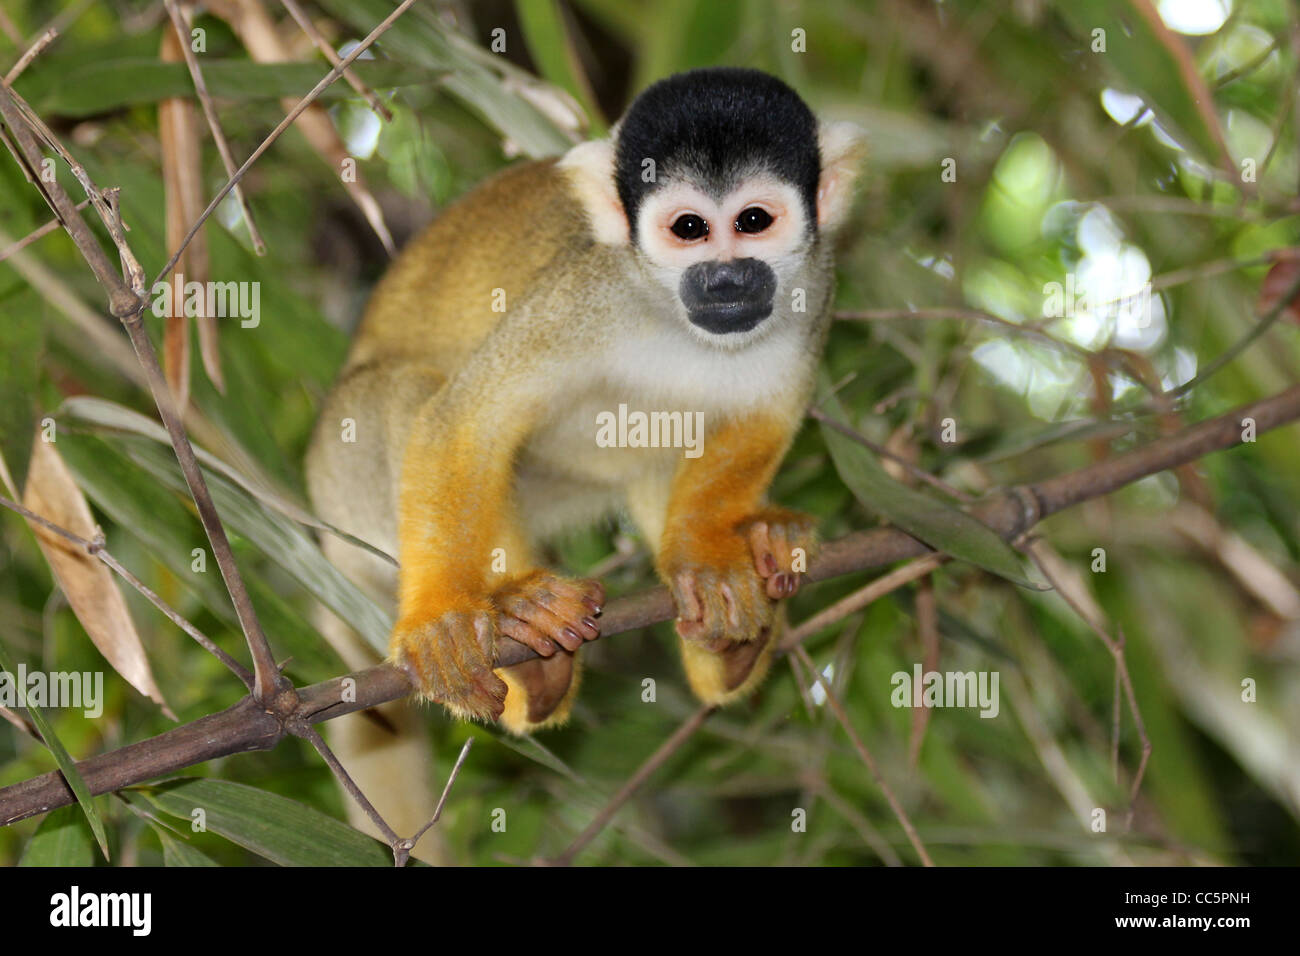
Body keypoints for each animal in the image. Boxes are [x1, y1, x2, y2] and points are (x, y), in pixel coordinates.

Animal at [304, 66, 865, 844]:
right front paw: (442, 619)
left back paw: (731, 613)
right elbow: (465, 420)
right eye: (689, 229)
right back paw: (522, 623)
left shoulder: (818, 288)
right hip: (344, 481)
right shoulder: (584, 294)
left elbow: (761, 418)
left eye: (755, 221)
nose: (726, 281)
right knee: (407, 393)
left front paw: (710, 562)